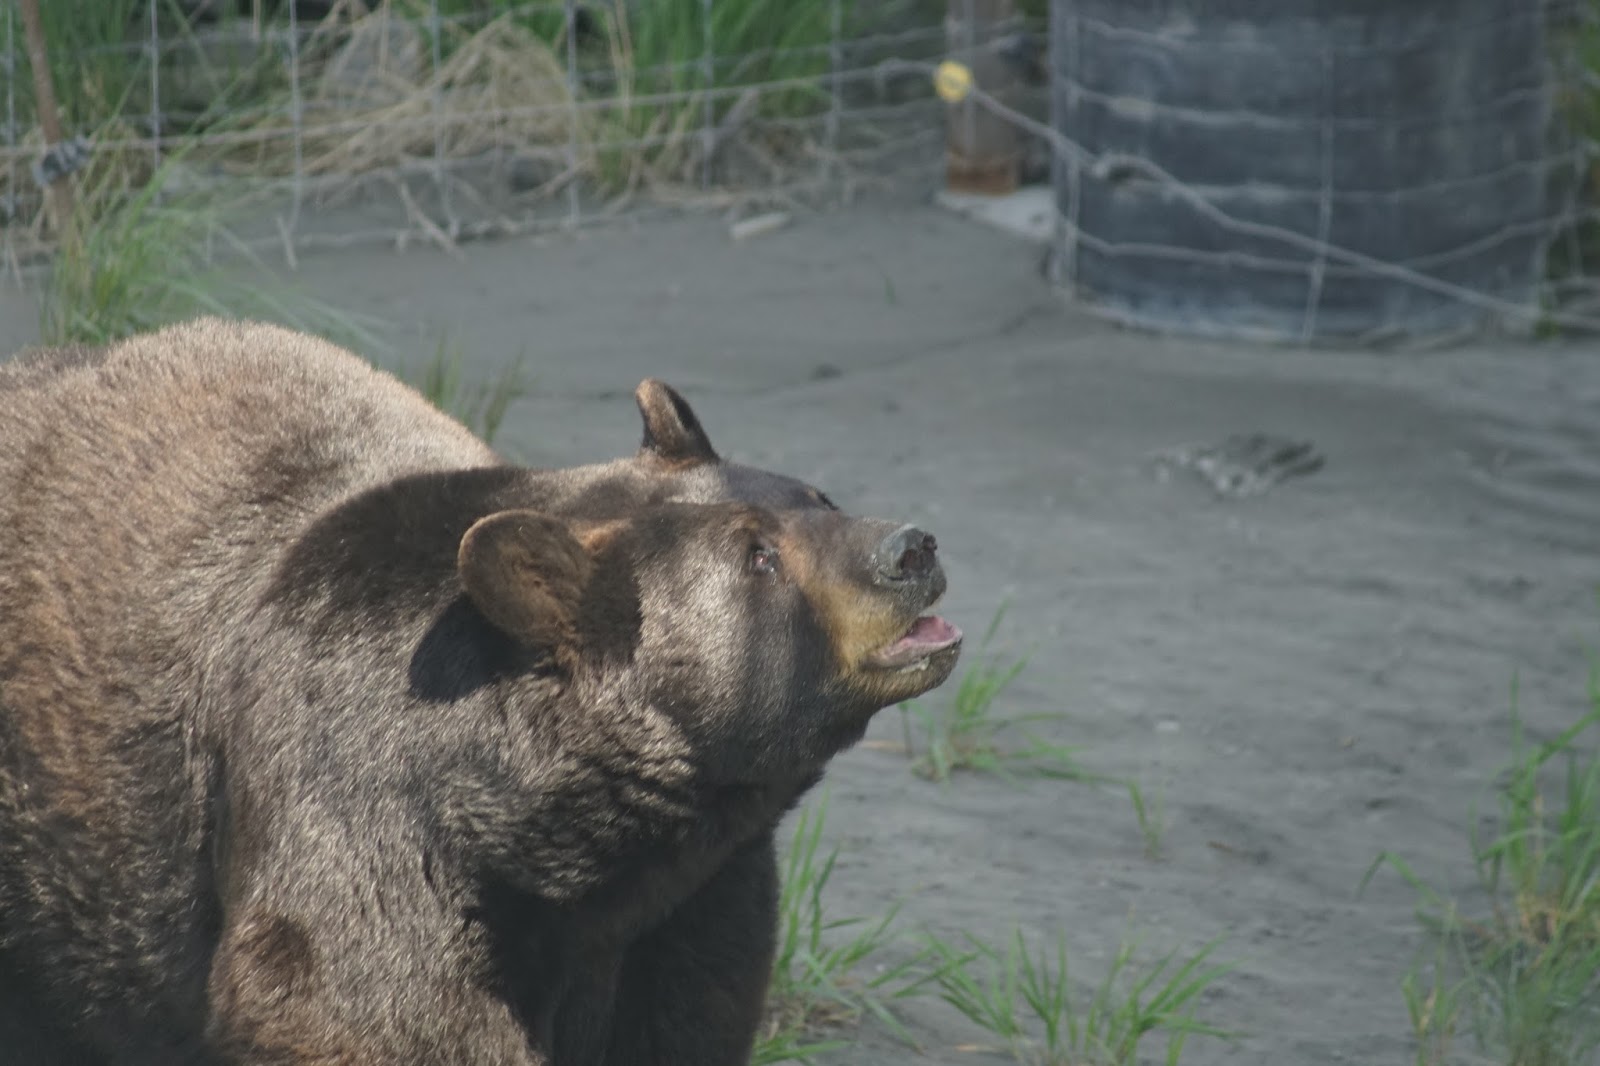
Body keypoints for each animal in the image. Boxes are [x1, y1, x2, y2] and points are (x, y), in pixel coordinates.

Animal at [0, 318, 962, 1066]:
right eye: (758, 557)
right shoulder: (358, 812)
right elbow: (365, 1004)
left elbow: (688, 1010)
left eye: (819, 497)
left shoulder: (692, 898)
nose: (911, 549)